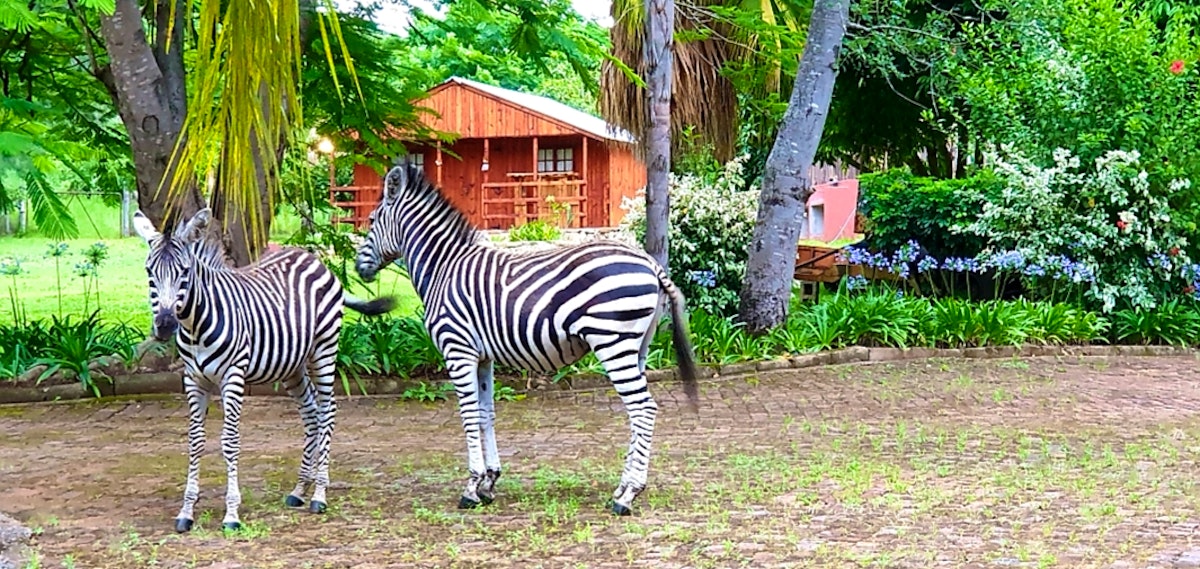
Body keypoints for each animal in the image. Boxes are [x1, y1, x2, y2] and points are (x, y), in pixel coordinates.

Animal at [132, 208, 395, 532]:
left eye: (184, 271)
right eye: (149, 272)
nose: (165, 325)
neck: (195, 326)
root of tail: (312, 259)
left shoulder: (233, 375)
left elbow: (230, 442)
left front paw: (232, 514)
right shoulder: (193, 380)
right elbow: (194, 441)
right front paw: (186, 511)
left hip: (324, 349)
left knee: (327, 412)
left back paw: (319, 494)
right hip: (293, 365)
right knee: (311, 413)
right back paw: (300, 489)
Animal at [354, 165, 700, 516]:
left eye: (371, 220)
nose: (358, 269)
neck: (443, 268)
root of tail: (650, 262)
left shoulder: (458, 350)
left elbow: (468, 414)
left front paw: (471, 487)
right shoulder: (482, 357)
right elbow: (486, 413)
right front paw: (489, 482)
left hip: (613, 342)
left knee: (643, 408)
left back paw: (628, 495)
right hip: (637, 347)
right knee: (636, 412)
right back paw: (622, 488)